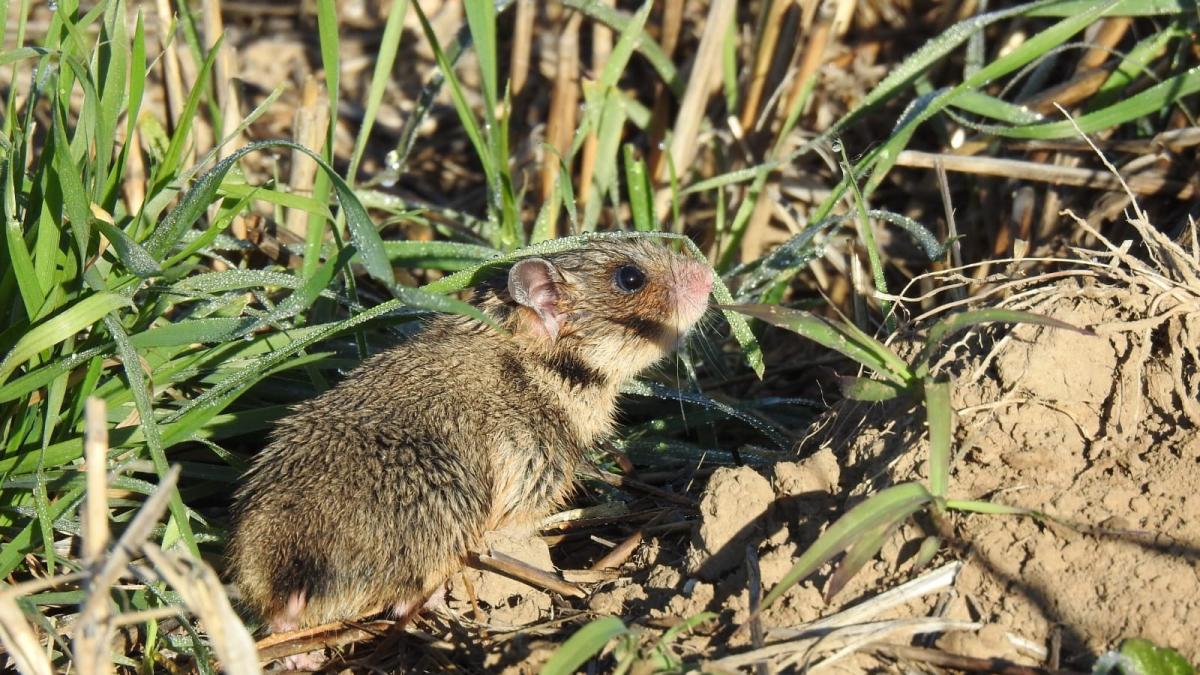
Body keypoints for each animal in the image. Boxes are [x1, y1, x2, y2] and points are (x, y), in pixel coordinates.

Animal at [226, 238, 713, 635]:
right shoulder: (531, 478)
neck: (537, 362)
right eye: (629, 277)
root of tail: (291, 578)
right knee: (404, 601)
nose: (709, 274)